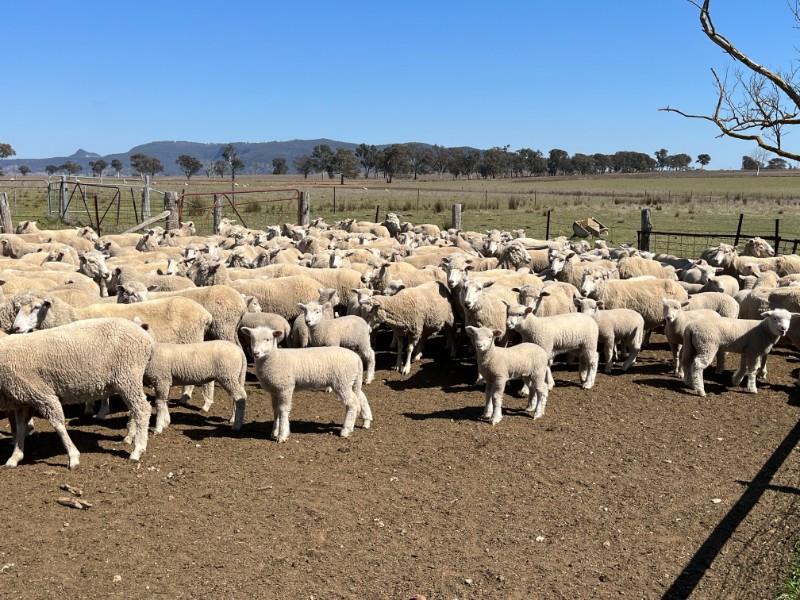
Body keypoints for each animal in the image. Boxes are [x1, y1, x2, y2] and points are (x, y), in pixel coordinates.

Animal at [0, 318, 154, 469]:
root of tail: (146, 337)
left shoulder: (43, 394)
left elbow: (58, 425)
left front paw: (73, 456)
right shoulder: (23, 399)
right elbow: (20, 427)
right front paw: (15, 457)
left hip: (128, 375)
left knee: (142, 408)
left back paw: (138, 449)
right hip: (127, 380)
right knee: (135, 409)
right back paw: (130, 437)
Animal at [241, 326, 373, 441]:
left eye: (267, 339)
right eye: (252, 339)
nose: (256, 353)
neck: (275, 358)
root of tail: (357, 358)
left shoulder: (286, 387)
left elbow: (283, 410)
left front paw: (282, 435)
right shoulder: (275, 389)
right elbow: (275, 410)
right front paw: (274, 432)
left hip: (342, 382)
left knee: (352, 404)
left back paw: (346, 430)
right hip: (352, 381)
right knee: (361, 398)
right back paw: (364, 422)